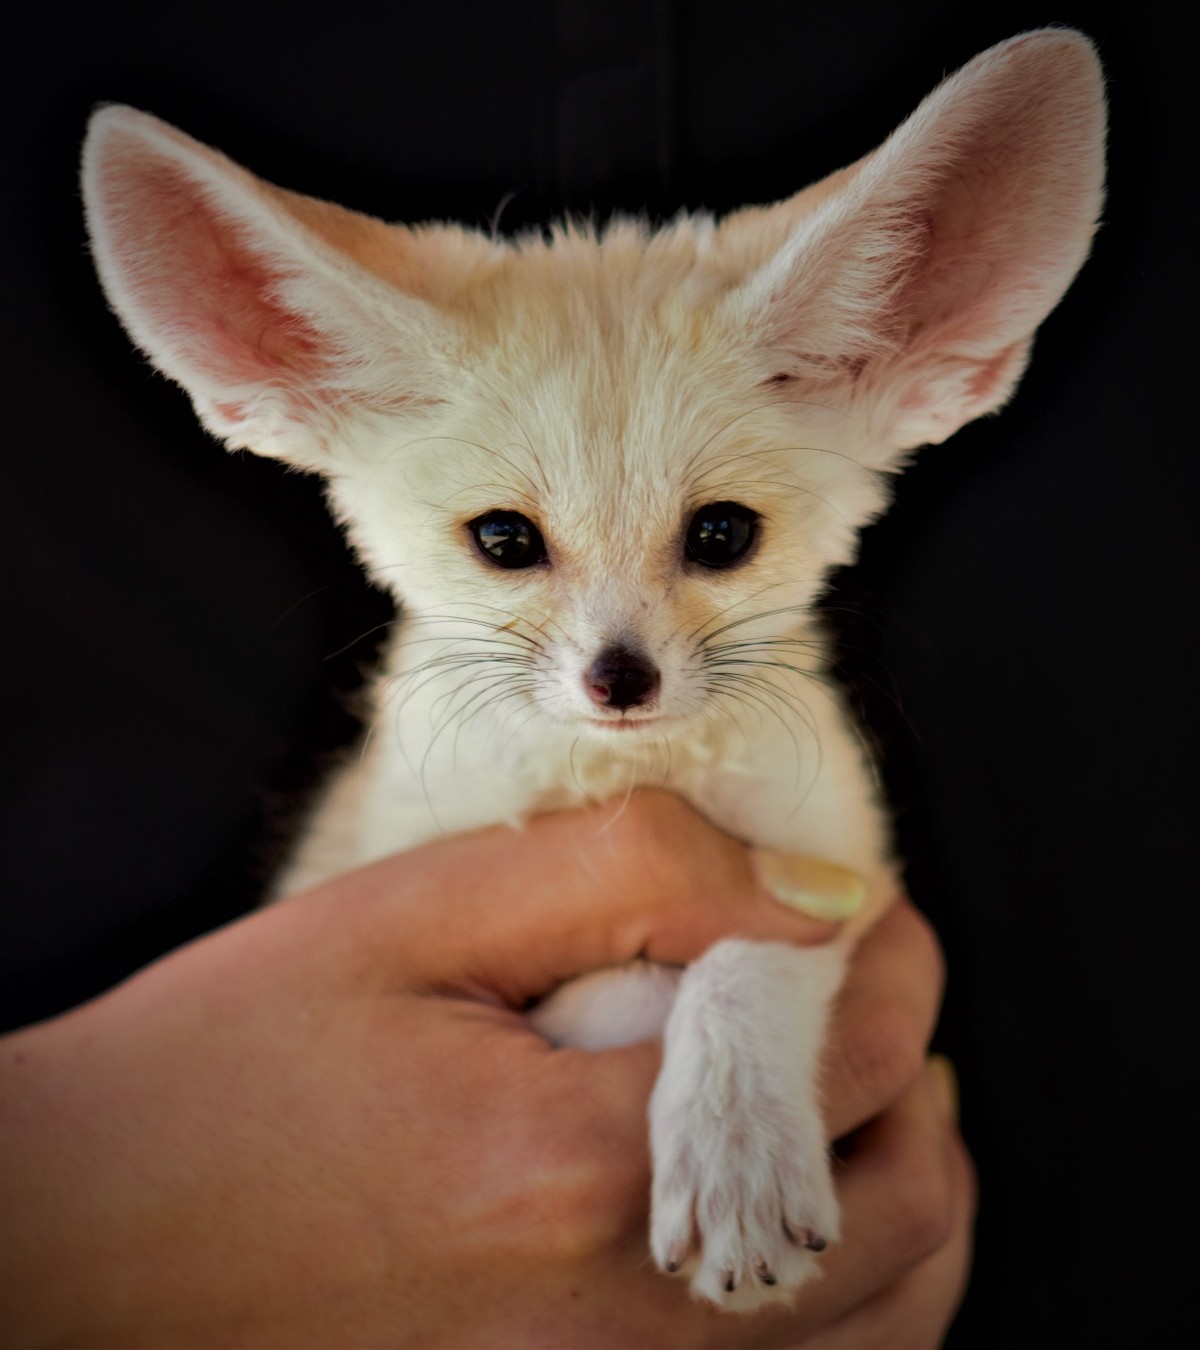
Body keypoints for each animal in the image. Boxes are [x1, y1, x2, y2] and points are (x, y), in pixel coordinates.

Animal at [81, 30, 1105, 1311]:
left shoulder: (835, 872)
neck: (617, 788)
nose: (621, 681)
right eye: (505, 540)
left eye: (720, 535)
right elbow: (615, 988)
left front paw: (733, 1146)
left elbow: (740, 958)